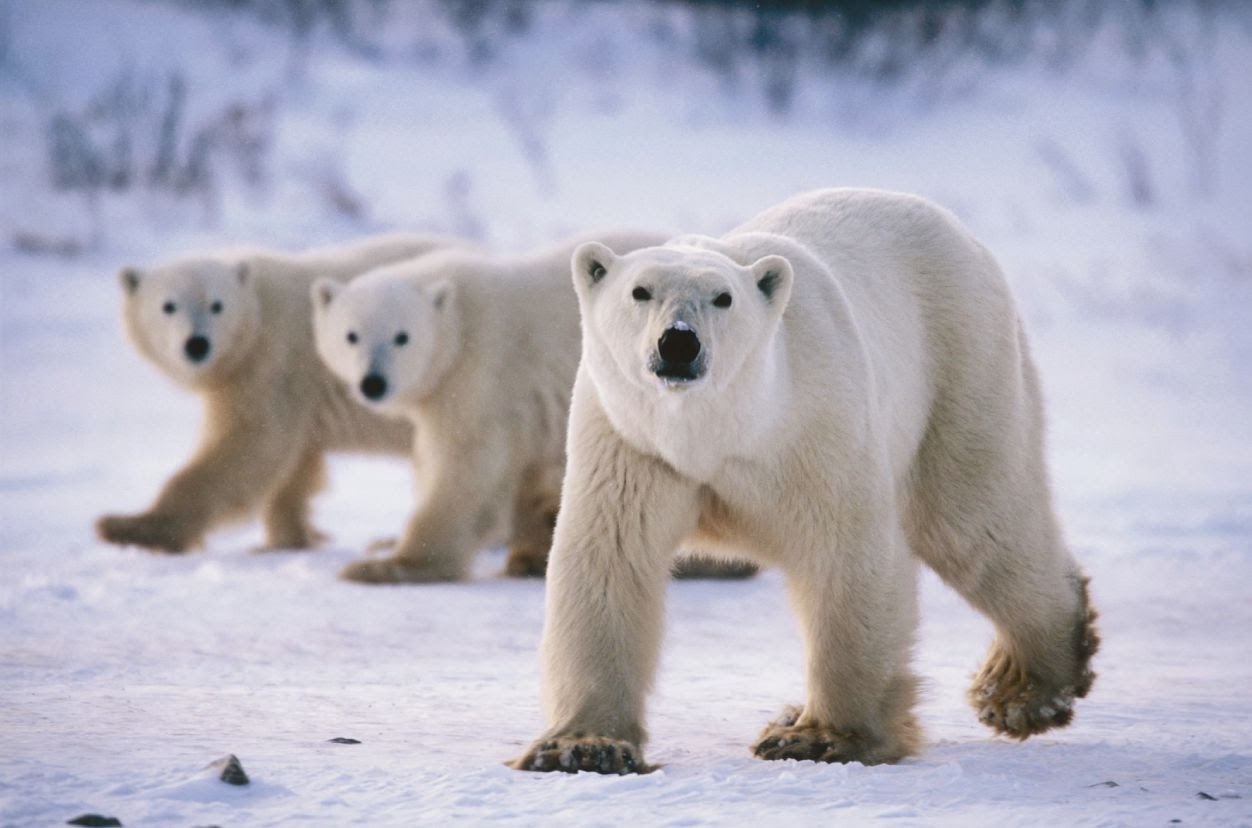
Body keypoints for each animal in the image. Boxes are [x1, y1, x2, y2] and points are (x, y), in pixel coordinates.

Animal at [97, 233, 466, 553]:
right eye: (169, 306)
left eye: (217, 305)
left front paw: (126, 527)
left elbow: (249, 444)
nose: (197, 344)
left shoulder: (271, 364)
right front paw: (287, 538)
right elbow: (294, 464)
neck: (259, 311)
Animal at [311, 230, 674, 584]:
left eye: (402, 337)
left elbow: (464, 464)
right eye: (351, 336)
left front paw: (386, 566)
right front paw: (530, 555)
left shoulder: (482, 371)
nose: (373, 382)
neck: (457, 320)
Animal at [510, 188, 1099, 774]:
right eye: (640, 291)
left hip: (960, 363)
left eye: (723, 298)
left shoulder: (814, 427)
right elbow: (609, 559)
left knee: (971, 521)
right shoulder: (630, 442)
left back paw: (1023, 688)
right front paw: (583, 745)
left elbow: (845, 555)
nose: (679, 343)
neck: (719, 430)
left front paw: (820, 737)